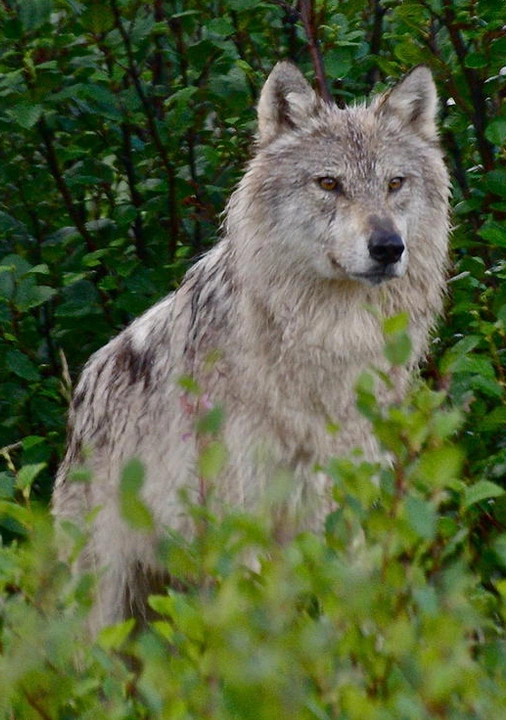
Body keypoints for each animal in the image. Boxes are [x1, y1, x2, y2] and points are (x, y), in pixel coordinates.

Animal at [53, 62, 450, 631]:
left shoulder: (344, 506)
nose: (388, 247)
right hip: (102, 598)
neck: (329, 341)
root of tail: (82, 394)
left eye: (395, 183)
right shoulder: (243, 515)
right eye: (329, 183)